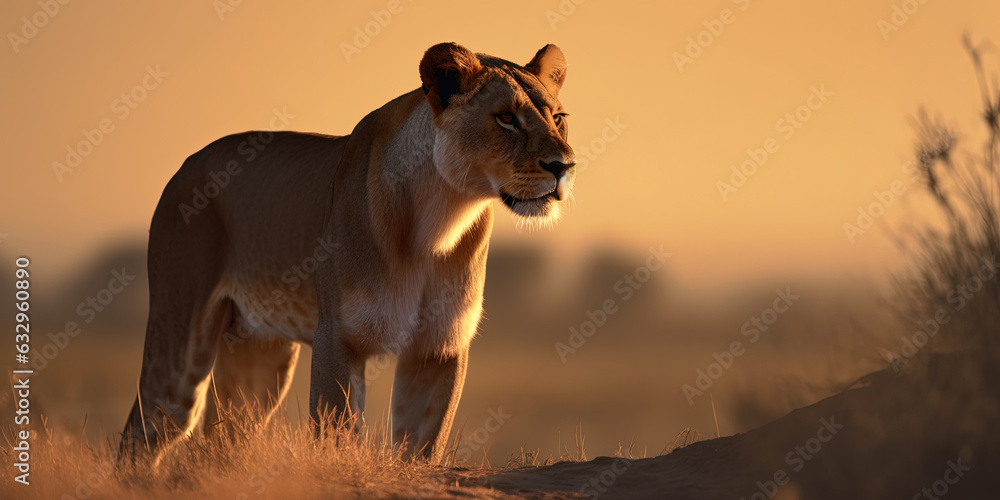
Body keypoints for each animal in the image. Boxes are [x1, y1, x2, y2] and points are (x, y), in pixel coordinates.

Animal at [119, 42, 576, 465]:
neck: (441, 218)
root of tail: (187, 164)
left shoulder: (438, 346)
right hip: (180, 339)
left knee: (221, 442)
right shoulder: (337, 336)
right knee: (141, 434)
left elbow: (420, 447)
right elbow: (335, 434)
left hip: (259, 357)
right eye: (505, 117)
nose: (564, 166)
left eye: (558, 118)